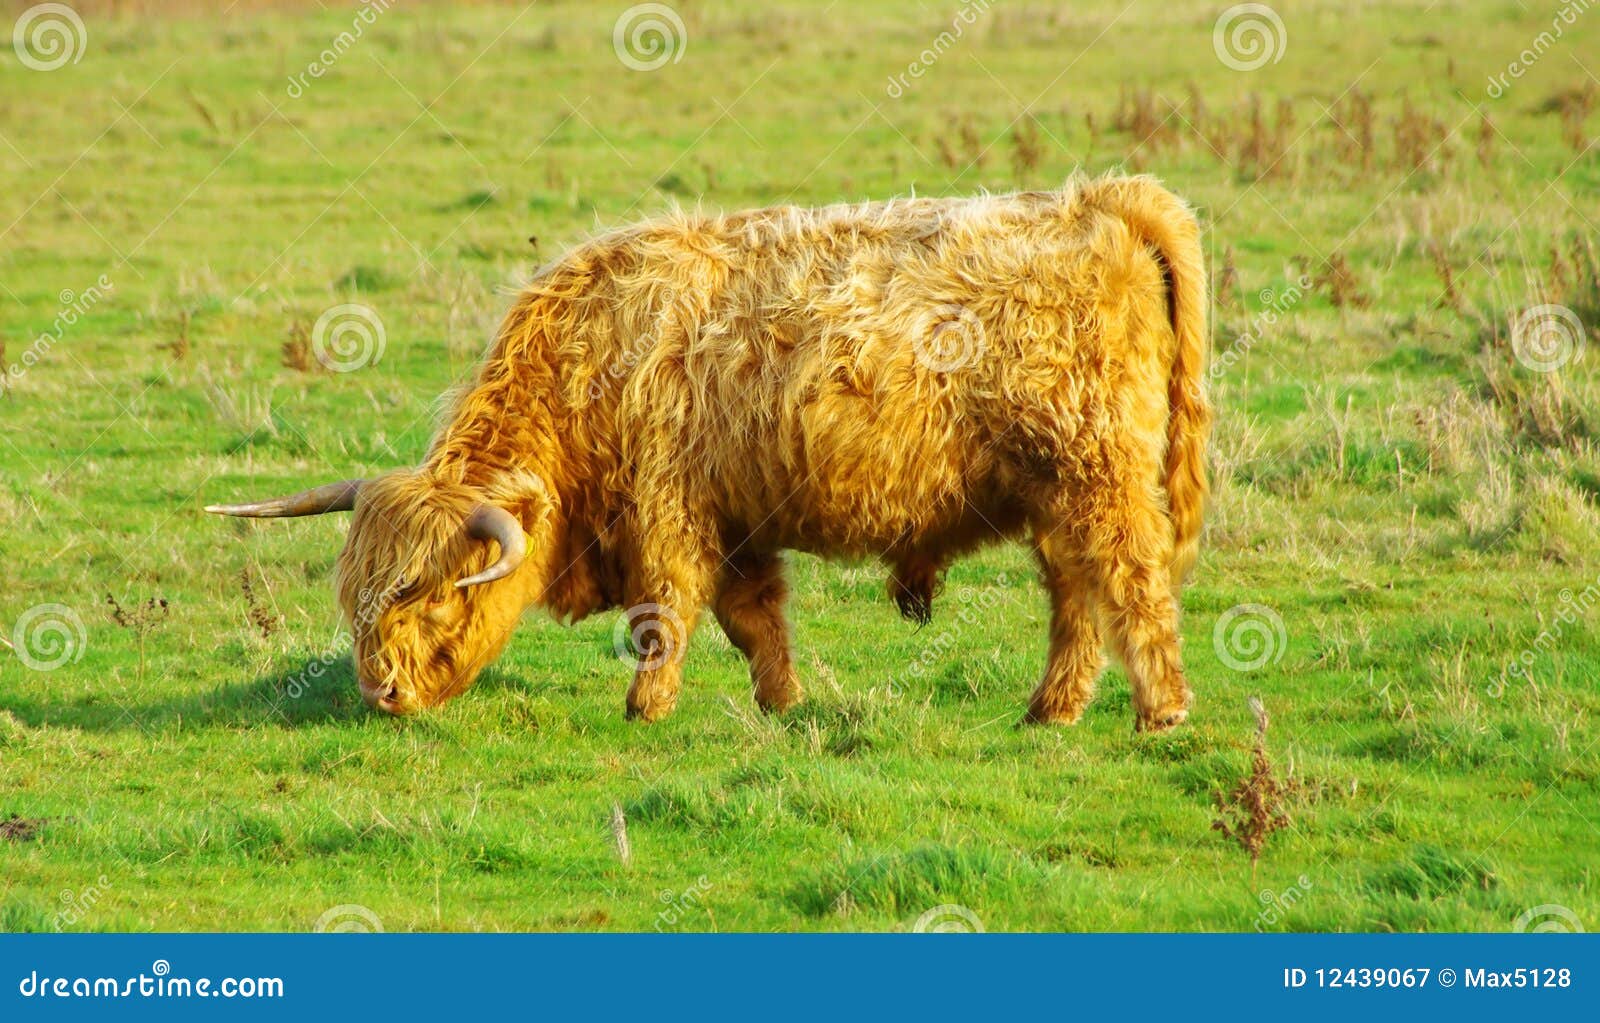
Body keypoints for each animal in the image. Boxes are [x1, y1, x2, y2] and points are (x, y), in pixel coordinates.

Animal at [208, 174, 1211, 731]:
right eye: (356, 597)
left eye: (431, 597)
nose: (381, 694)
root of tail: (1097, 200)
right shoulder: (736, 519)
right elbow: (754, 618)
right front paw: (783, 703)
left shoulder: (667, 510)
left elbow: (668, 612)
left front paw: (645, 707)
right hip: (1054, 492)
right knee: (1076, 594)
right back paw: (1051, 710)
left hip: (1099, 473)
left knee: (1132, 582)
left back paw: (1160, 711)